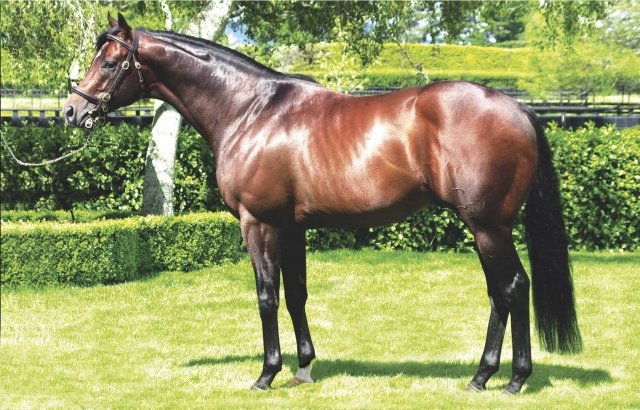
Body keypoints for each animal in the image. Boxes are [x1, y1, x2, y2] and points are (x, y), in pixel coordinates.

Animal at [65, 14, 582, 394]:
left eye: (109, 63)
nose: (73, 110)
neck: (250, 110)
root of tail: (517, 108)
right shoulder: (292, 226)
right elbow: (296, 294)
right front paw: (303, 368)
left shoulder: (259, 224)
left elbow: (267, 296)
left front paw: (267, 374)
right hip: (487, 229)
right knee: (500, 292)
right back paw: (483, 377)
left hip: (487, 226)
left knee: (512, 287)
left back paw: (511, 380)